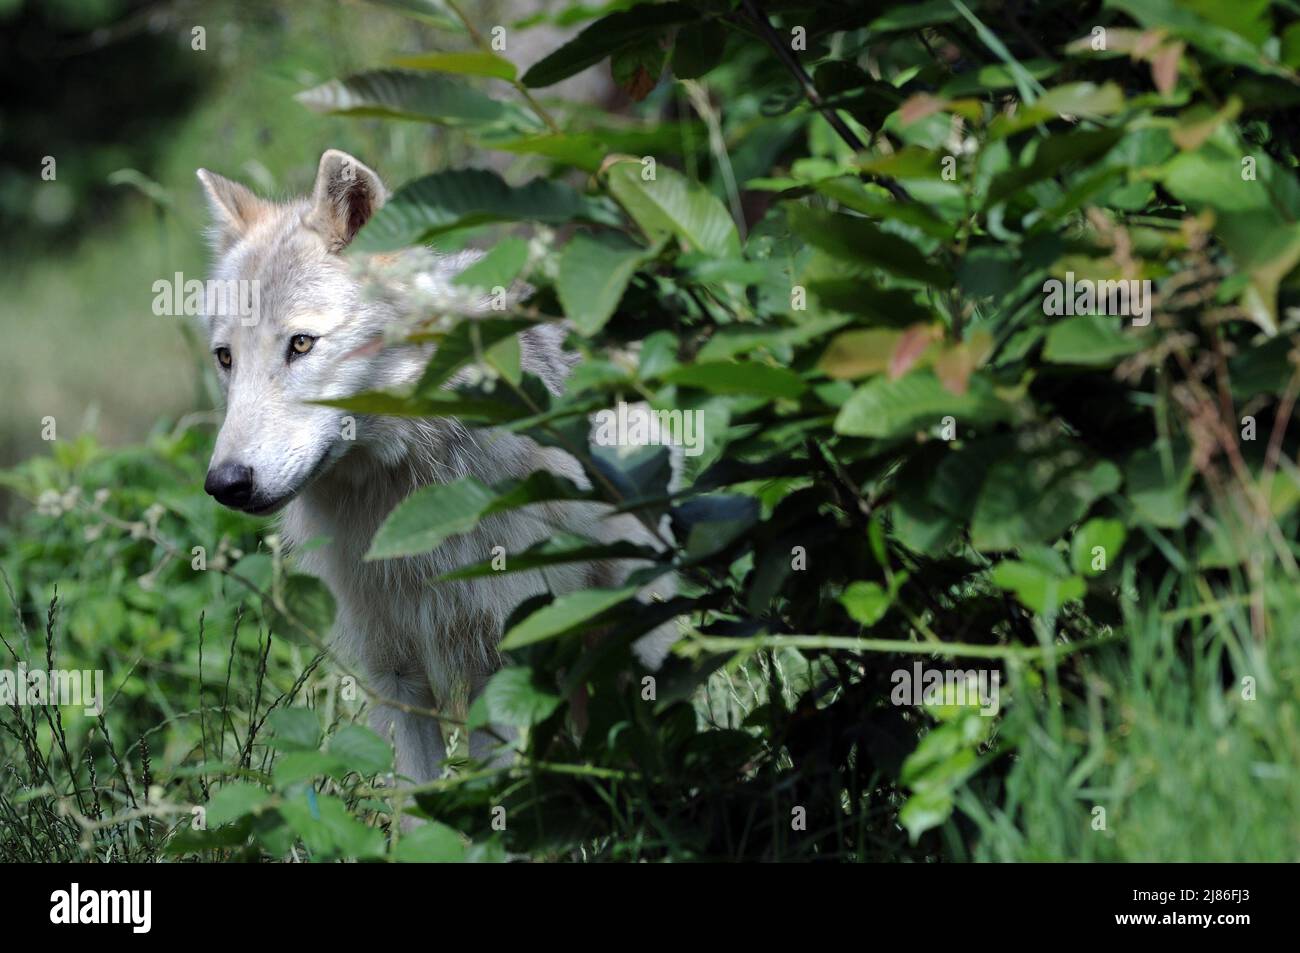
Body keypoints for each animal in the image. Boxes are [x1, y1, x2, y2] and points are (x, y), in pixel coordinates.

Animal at [196, 150, 678, 783]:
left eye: (300, 344)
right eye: (226, 358)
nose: (224, 484)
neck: (398, 500)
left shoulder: (494, 656)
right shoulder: (392, 671)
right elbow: (418, 797)